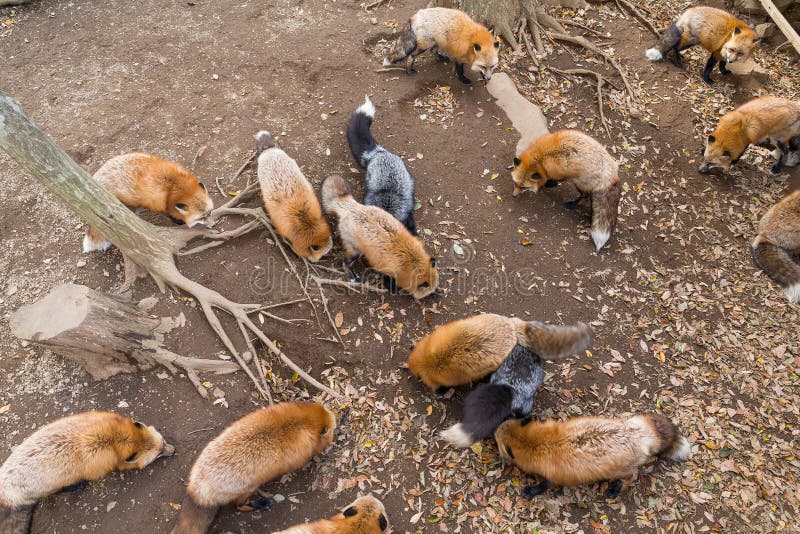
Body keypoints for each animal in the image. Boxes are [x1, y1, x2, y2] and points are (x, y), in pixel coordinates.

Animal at [83, 153, 214, 253]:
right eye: (201, 218)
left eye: (210, 212)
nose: (213, 225)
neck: (173, 186)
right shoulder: (159, 203)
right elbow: (169, 213)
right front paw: (178, 221)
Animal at [171, 402, 336, 534]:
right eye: (333, 427)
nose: (338, 415)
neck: (300, 423)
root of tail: (196, 490)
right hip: (248, 489)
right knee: (238, 506)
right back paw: (259, 504)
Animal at [494, 414, 692, 499]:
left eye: (497, 440)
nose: (494, 431)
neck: (540, 443)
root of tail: (640, 435)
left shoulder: (554, 475)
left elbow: (544, 486)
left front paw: (530, 492)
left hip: (619, 472)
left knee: (631, 477)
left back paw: (615, 490)